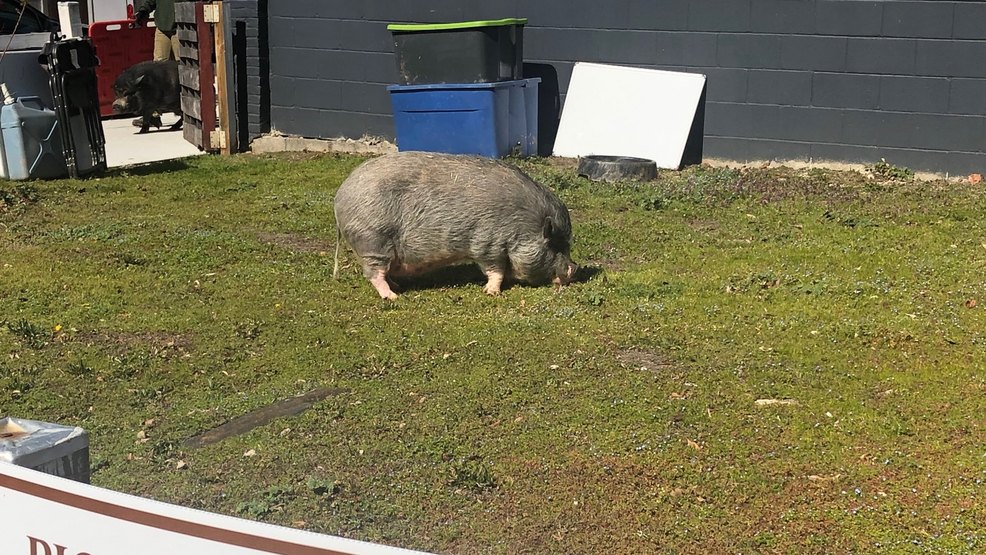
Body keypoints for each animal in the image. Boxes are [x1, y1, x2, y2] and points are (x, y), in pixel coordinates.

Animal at [333, 152, 578, 299]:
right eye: (553, 245)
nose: (574, 269)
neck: (521, 225)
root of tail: (340, 195)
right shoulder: (487, 243)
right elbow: (495, 271)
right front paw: (492, 293)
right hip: (373, 241)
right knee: (374, 273)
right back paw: (393, 297)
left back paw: (398, 288)